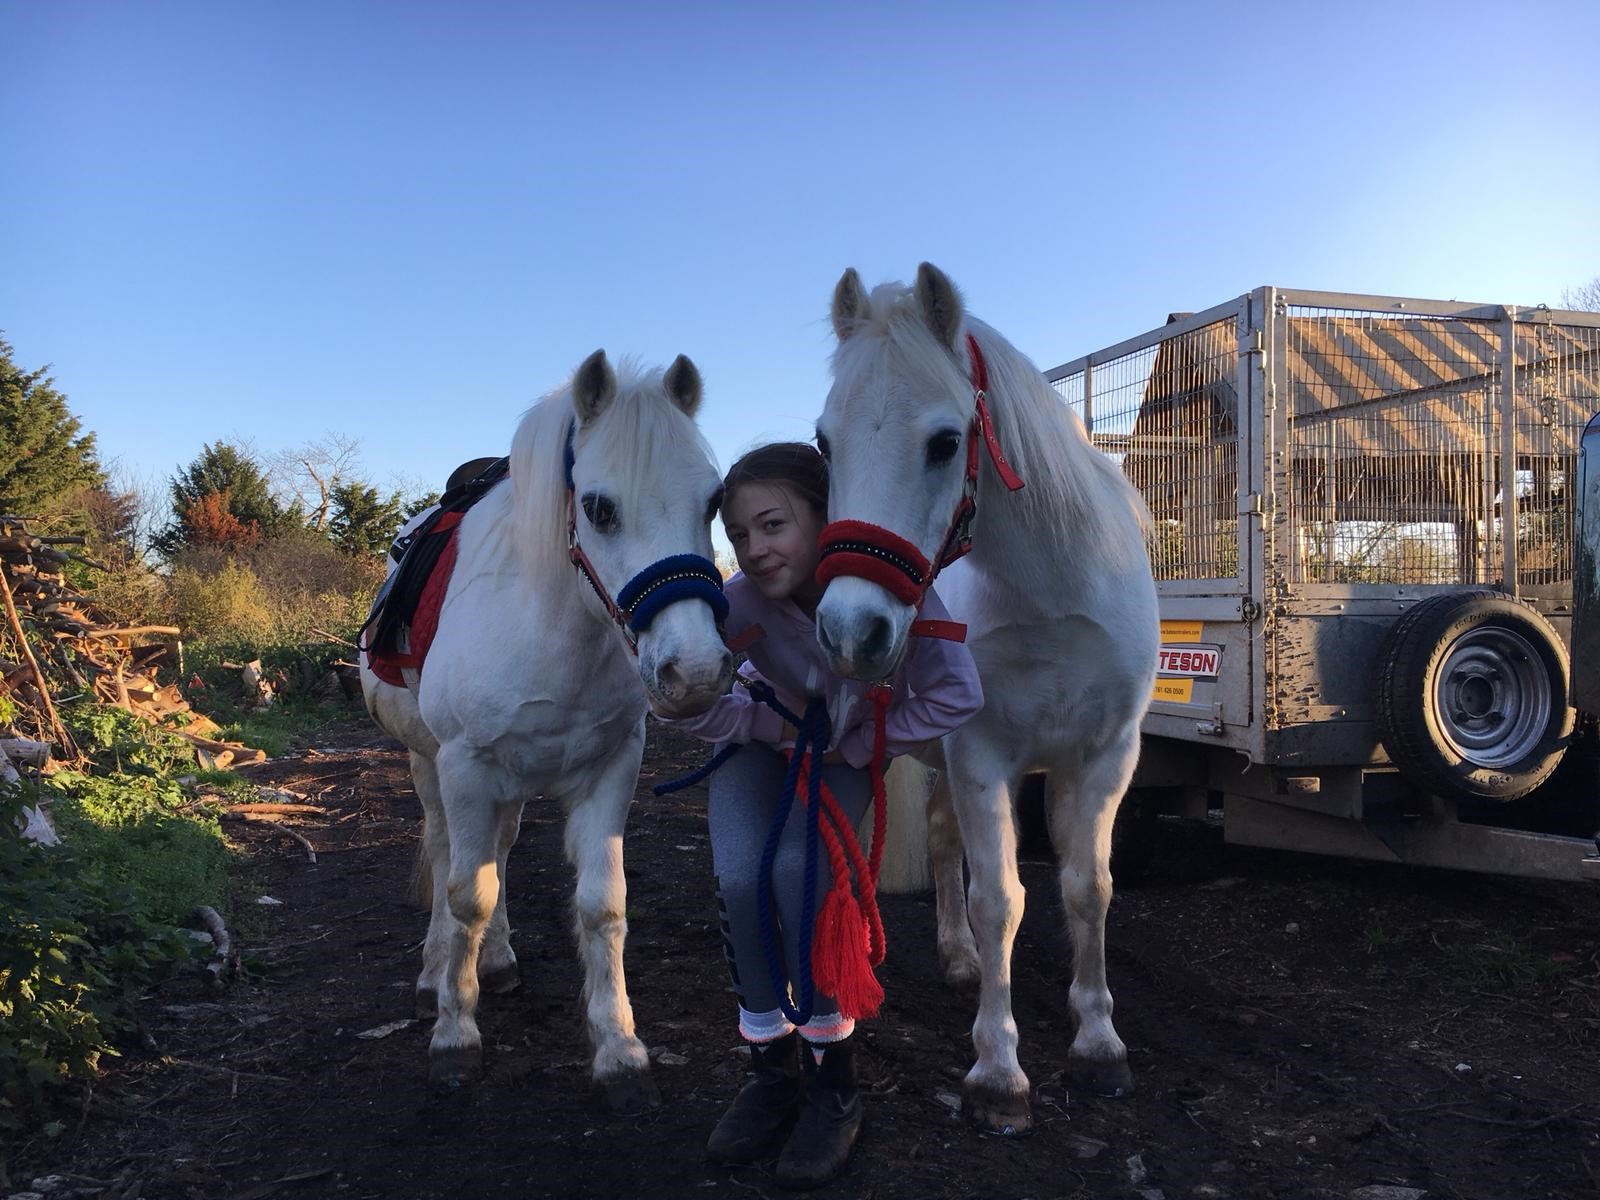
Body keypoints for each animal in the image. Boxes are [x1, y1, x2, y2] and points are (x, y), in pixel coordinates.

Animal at [361, 350, 734, 1110]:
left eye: (712, 501)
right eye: (597, 507)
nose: (697, 670)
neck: (552, 624)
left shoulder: (610, 771)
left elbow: (600, 906)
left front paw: (618, 1045)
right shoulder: (466, 768)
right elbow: (465, 894)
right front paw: (455, 1035)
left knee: (497, 852)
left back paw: (498, 961)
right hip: (429, 766)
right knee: (447, 851)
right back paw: (436, 973)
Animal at [813, 264, 1158, 1135]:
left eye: (945, 441)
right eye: (826, 440)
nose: (852, 630)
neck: (1054, 587)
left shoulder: (1105, 760)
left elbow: (1087, 888)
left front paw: (1098, 1041)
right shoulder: (982, 760)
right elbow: (1001, 898)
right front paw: (998, 1070)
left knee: (941, 842)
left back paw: (960, 958)